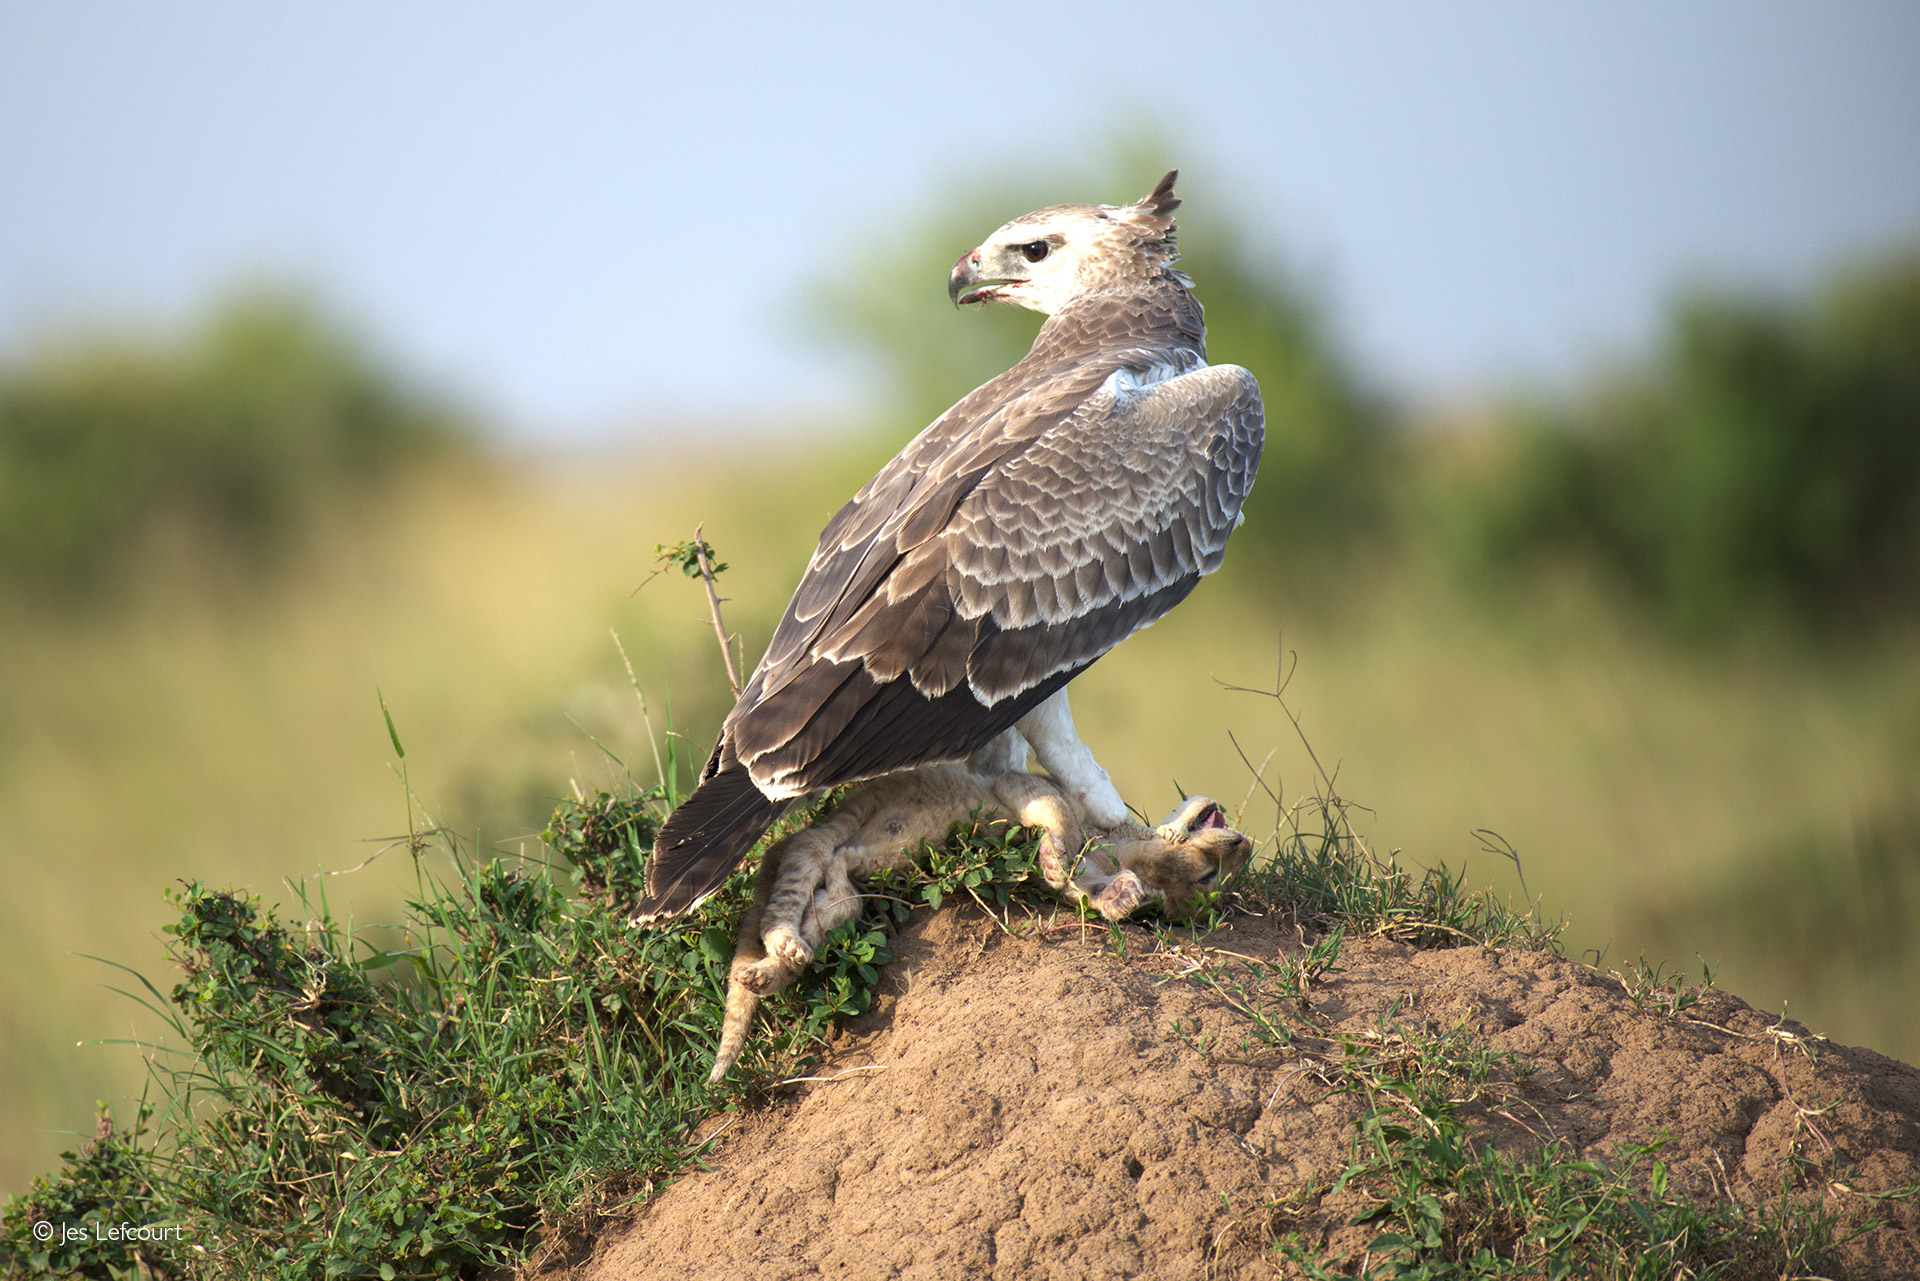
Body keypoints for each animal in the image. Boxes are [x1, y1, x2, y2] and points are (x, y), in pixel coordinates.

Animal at [705, 762, 1252, 1084]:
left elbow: (1085, 890)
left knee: (823, 908)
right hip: (826, 841)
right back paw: (776, 954)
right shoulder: (1024, 786)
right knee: (788, 901)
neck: (1126, 846)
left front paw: (1117, 896)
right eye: (1212, 872)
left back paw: (770, 969)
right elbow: (1061, 827)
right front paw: (1061, 863)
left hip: (852, 886)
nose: (1244, 846)